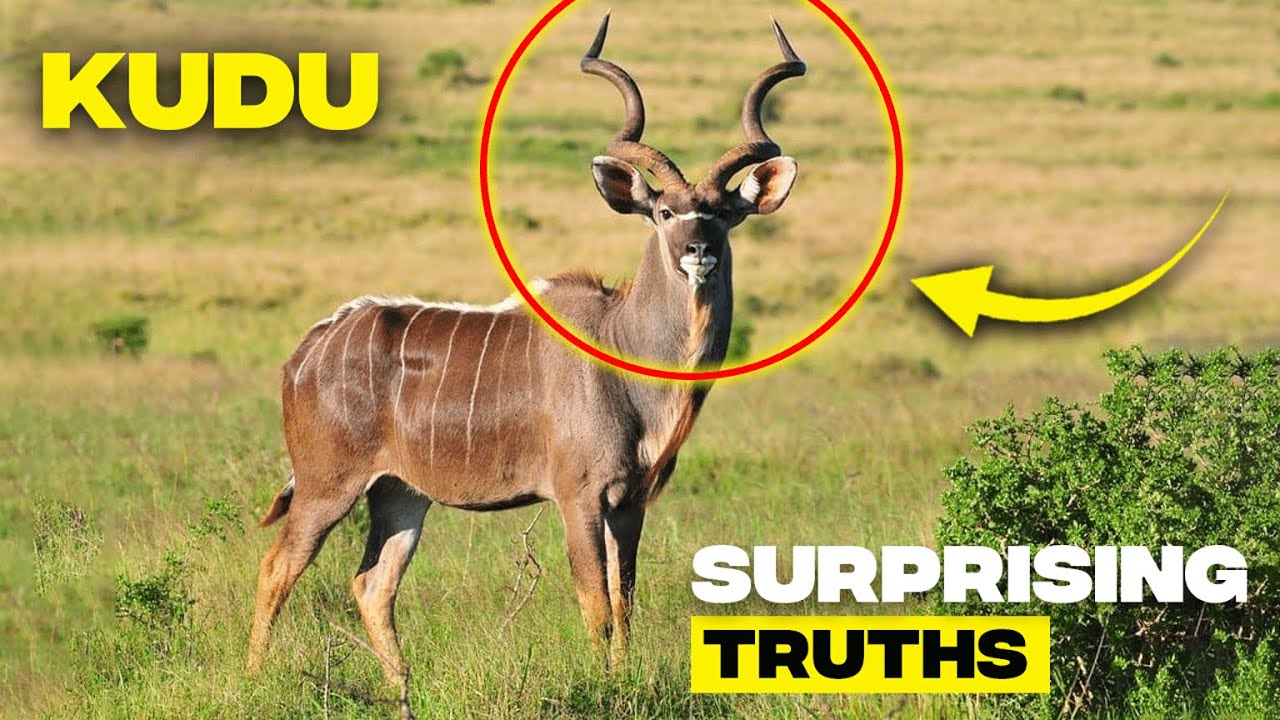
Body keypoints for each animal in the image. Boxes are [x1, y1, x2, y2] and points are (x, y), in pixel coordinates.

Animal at [247, 15, 806, 685]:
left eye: (723, 212)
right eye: (665, 212)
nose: (698, 251)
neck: (625, 350)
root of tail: (308, 348)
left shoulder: (630, 502)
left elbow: (625, 600)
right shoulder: (578, 495)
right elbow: (596, 602)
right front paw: (602, 685)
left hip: (400, 494)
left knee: (372, 584)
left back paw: (402, 687)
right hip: (327, 485)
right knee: (278, 568)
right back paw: (251, 682)